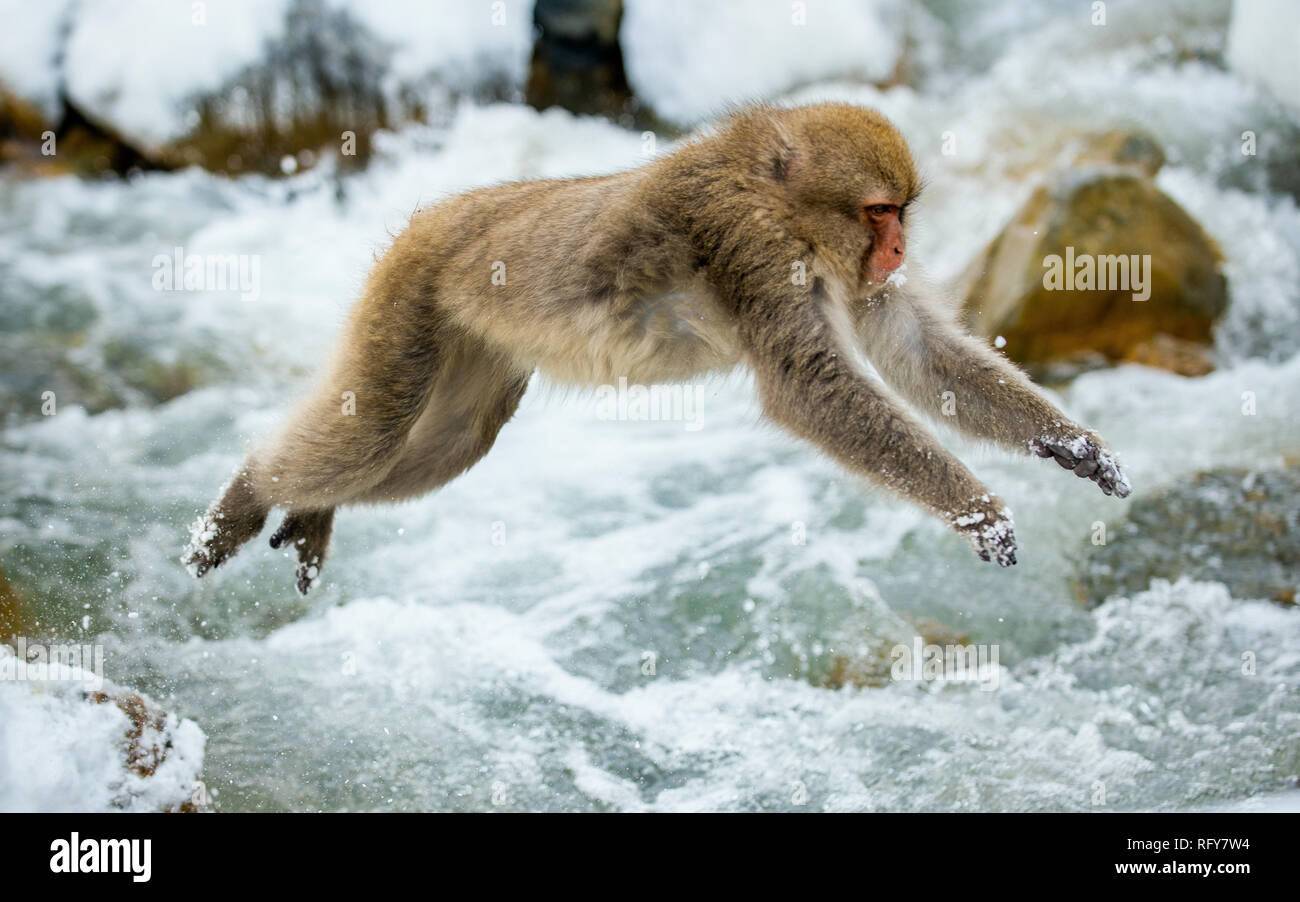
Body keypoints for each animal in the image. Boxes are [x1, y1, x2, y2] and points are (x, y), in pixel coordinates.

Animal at [183, 102, 1131, 595]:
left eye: (902, 214)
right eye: (878, 211)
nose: (898, 249)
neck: (774, 197)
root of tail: (436, 214)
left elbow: (918, 350)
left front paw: (1075, 446)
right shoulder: (752, 246)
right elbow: (812, 387)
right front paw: (980, 512)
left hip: (467, 348)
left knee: (449, 445)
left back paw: (313, 508)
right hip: (404, 304)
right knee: (372, 430)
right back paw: (248, 492)